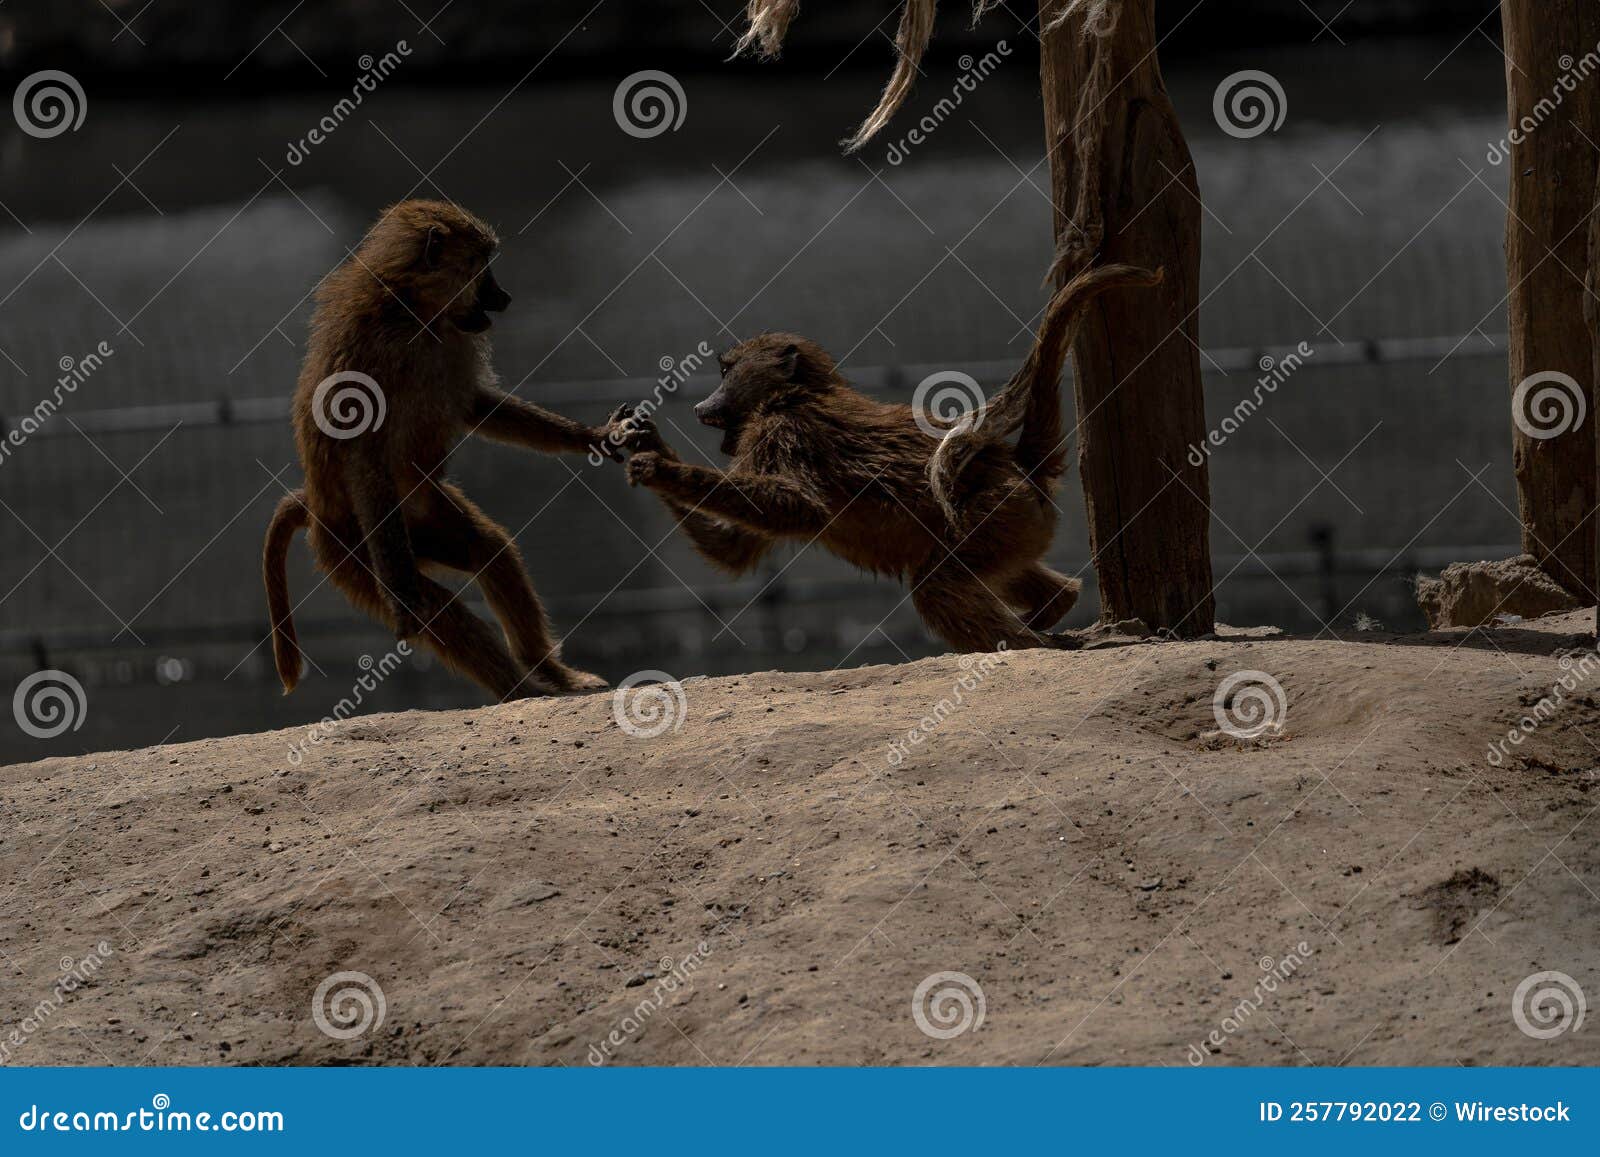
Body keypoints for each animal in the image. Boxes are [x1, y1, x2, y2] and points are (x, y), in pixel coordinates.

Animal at [262, 199, 613, 701]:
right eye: (482, 267)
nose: (504, 297)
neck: (413, 313)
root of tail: (316, 504)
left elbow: (475, 407)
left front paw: (594, 437)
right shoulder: (372, 355)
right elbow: (363, 456)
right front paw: (407, 602)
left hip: (421, 521)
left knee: (490, 550)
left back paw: (550, 674)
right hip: (359, 546)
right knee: (435, 606)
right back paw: (519, 688)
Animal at [602, 263, 1162, 654]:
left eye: (724, 372)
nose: (702, 406)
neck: (793, 394)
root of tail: (1019, 465)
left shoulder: (782, 431)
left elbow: (796, 508)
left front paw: (658, 466)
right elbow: (734, 547)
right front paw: (642, 442)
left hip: (998, 511)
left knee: (937, 586)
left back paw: (1023, 646)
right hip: (1017, 521)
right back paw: (1054, 608)